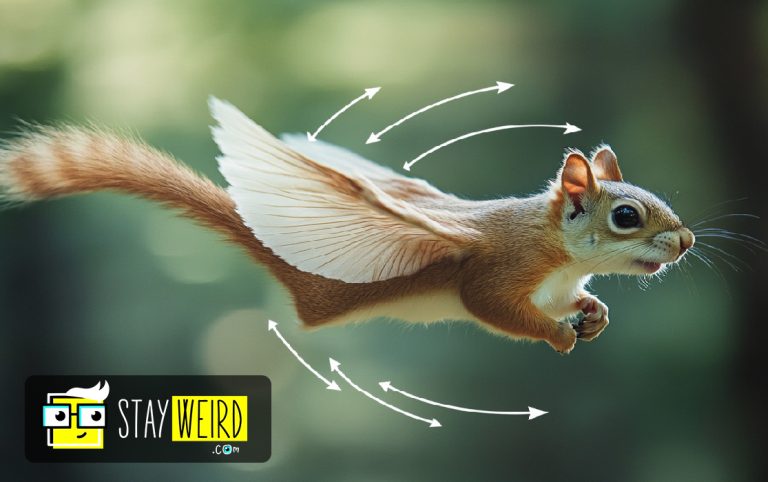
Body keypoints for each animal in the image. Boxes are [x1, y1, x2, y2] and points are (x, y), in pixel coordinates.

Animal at [0, 98, 694, 354]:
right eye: (626, 216)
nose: (687, 241)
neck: (560, 255)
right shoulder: (500, 268)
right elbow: (491, 305)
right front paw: (558, 335)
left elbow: (573, 301)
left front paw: (593, 313)